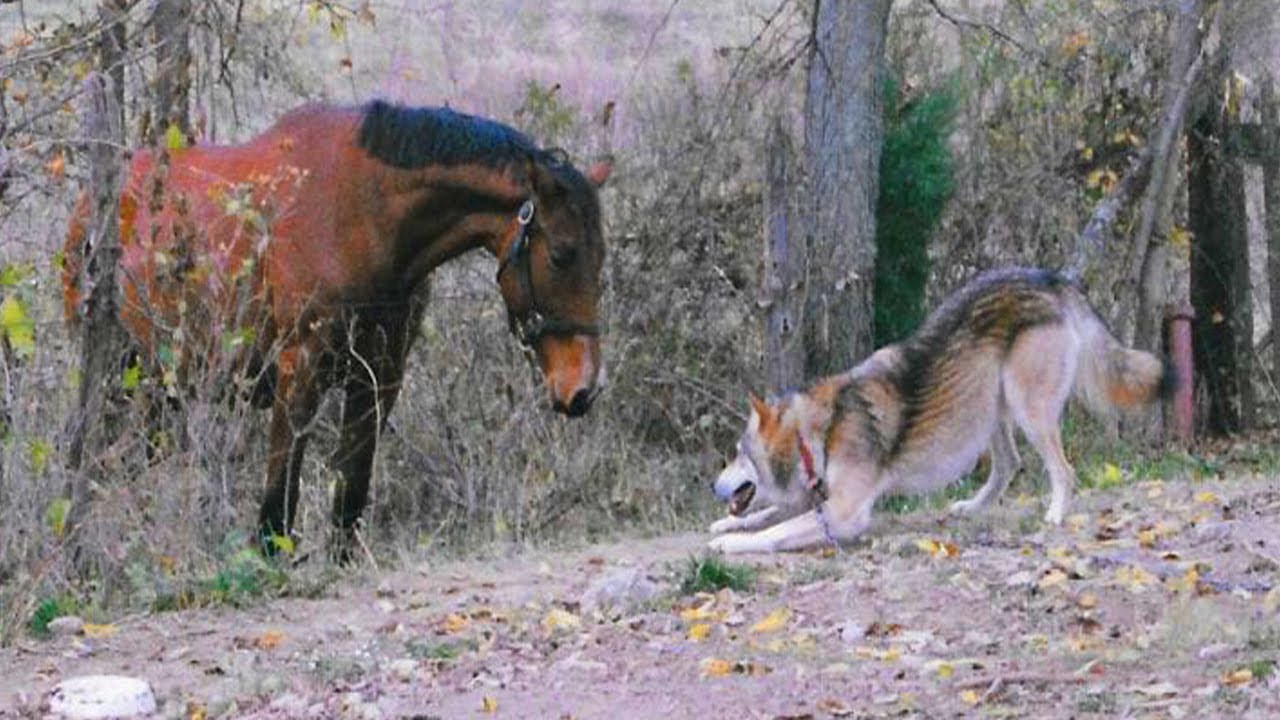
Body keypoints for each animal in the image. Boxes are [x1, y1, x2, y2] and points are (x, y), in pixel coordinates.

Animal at [62, 100, 612, 557]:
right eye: (561, 255)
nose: (582, 390)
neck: (360, 215)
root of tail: (93, 200)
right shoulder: (300, 373)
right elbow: (279, 497)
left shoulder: (380, 379)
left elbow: (351, 487)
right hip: (117, 376)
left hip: (158, 384)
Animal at [708, 267, 1173, 554]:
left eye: (737, 453)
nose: (714, 486)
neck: (819, 434)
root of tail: (1051, 278)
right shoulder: (820, 498)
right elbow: (767, 513)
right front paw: (724, 526)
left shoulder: (843, 514)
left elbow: (773, 531)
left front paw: (728, 544)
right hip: (987, 409)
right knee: (1010, 464)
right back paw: (972, 508)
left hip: (1027, 411)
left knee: (1062, 471)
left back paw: (1055, 515)